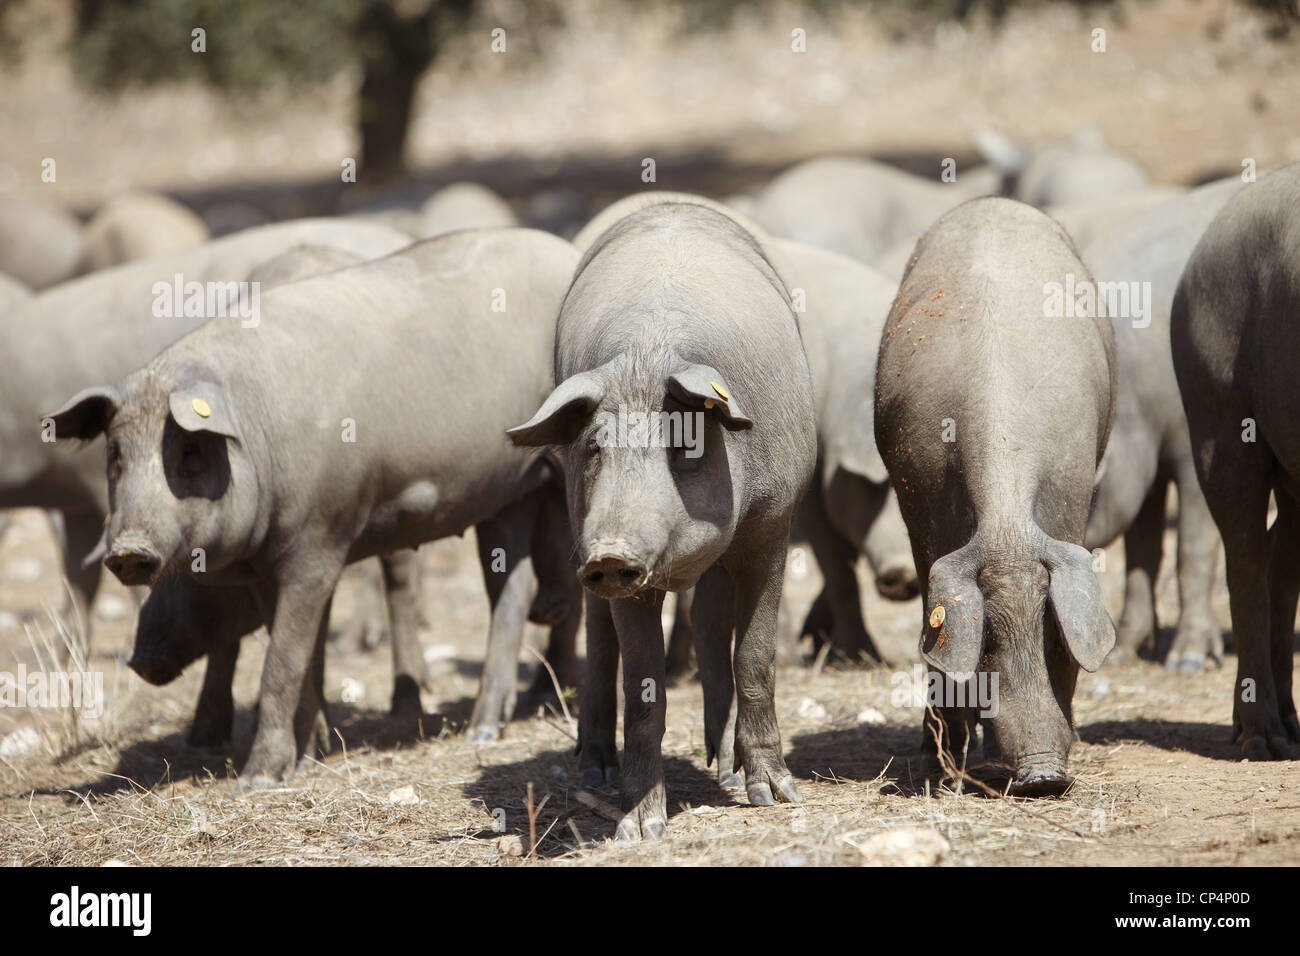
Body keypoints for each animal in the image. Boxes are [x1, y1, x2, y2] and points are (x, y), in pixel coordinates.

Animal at [46, 228, 582, 784]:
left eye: (189, 450)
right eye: (115, 455)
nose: (129, 549)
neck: (256, 429)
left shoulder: (319, 539)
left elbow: (280, 663)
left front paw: (258, 779)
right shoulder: (269, 568)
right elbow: (306, 659)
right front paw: (309, 756)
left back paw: (493, 725)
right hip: (509, 494)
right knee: (511, 591)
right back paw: (484, 727)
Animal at [509, 201, 817, 840]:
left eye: (683, 445)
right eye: (596, 447)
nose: (611, 552)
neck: (648, 356)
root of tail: (672, 203)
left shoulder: (773, 525)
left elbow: (754, 656)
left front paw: (774, 795)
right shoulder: (617, 570)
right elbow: (643, 688)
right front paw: (640, 827)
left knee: (709, 622)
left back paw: (725, 770)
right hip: (582, 534)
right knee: (600, 638)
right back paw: (596, 769)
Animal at [875, 197, 1117, 795]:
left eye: (1053, 636)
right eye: (986, 646)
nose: (1043, 776)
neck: (1008, 525)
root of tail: (993, 201)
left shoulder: (1071, 501)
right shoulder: (923, 514)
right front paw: (944, 773)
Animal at [1080, 176, 1245, 671]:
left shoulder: (1197, 457)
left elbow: (1192, 551)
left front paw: (1187, 658)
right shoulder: (1143, 472)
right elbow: (1142, 556)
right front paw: (1124, 653)